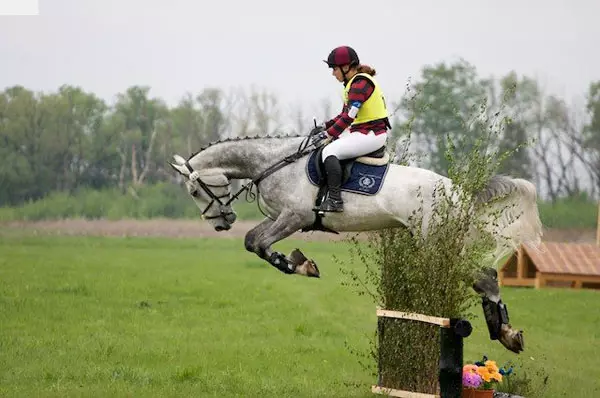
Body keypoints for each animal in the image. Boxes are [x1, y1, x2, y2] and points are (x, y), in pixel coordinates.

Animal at [169, 134, 544, 354]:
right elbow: (253, 242)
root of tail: (462, 192)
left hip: (436, 243)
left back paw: (506, 333)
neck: (271, 165)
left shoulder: (294, 217)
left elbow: (259, 245)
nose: (221, 223)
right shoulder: (280, 217)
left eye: (194, 190)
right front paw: (300, 262)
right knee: (484, 277)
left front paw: (299, 264)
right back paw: (506, 332)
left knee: (484, 277)